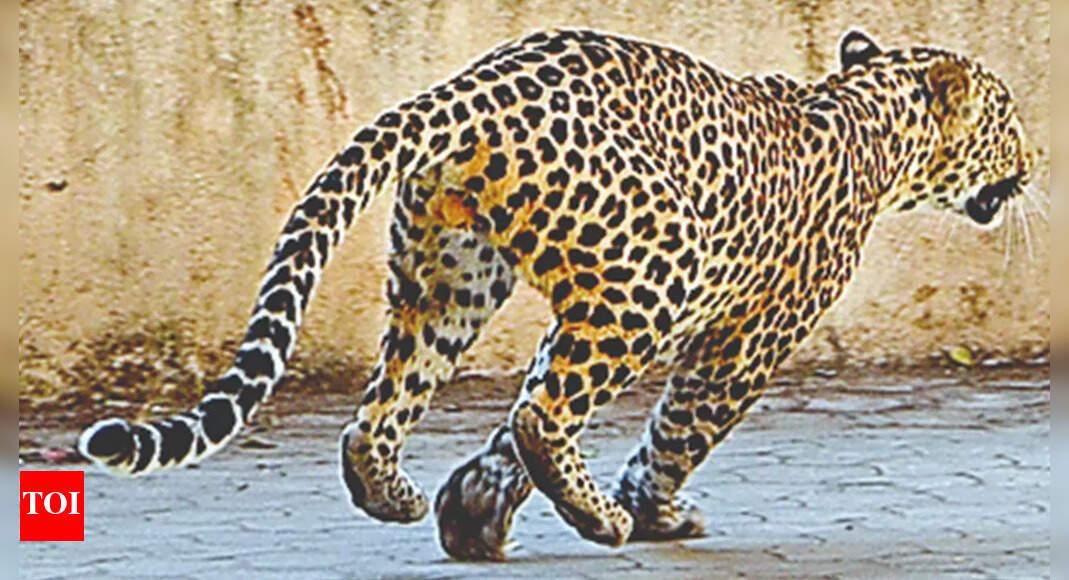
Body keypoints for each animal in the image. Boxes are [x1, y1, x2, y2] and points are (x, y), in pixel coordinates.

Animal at [78, 28, 1035, 561]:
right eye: (1008, 120)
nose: (1031, 166)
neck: (872, 120)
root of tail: (467, 87)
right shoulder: (745, 336)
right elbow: (676, 430)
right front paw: (655, 513)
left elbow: (516, 419)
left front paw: (474, 507)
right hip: (653, 275)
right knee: (545, 412)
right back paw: (601, 519)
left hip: (453, 278)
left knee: (391, 407)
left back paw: (394, 494)